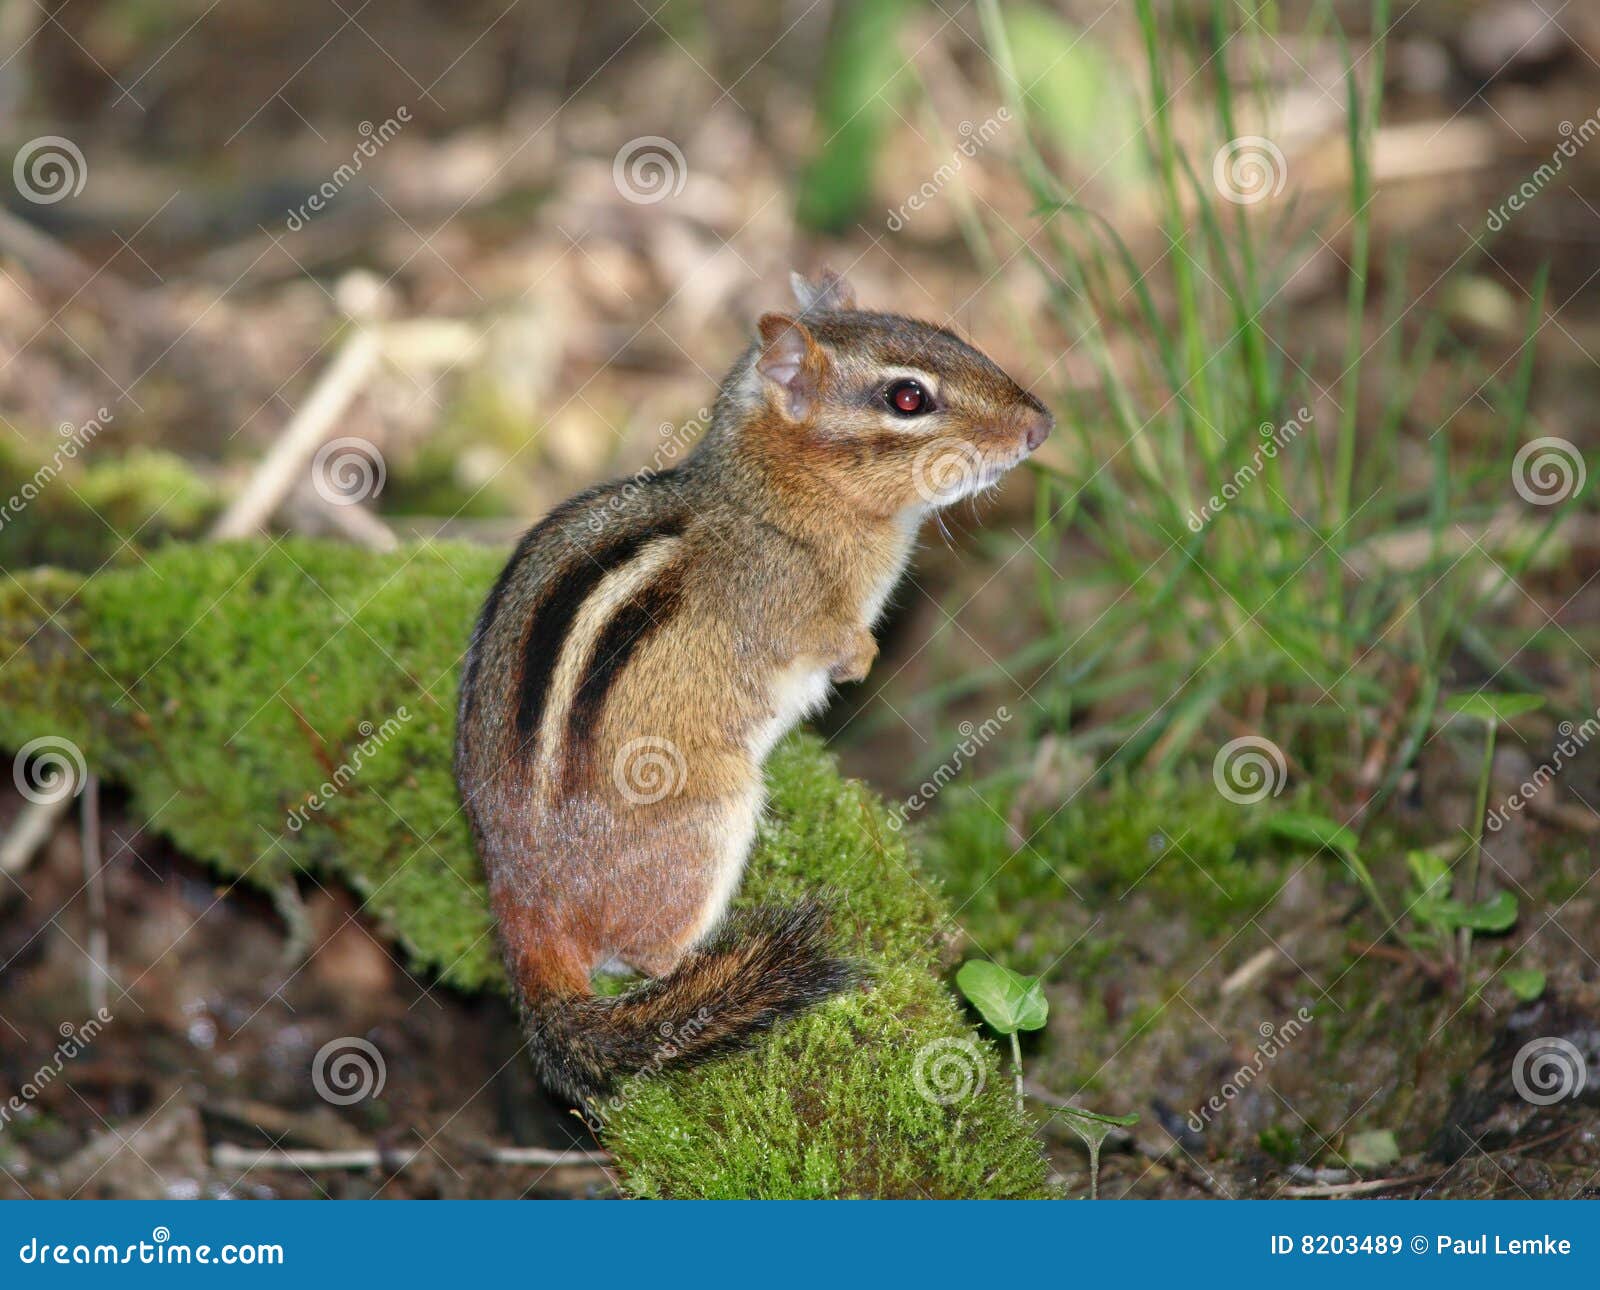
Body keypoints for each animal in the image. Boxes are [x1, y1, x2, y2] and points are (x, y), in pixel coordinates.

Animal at [453, 268, 1052, 1112]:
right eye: (908, 398)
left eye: (949, 334)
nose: (1041, 424)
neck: (777, 492)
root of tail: (521, 906)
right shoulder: (795, 611)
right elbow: (826, 638)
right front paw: (860, 658)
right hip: (711, 809)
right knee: (647, 961)